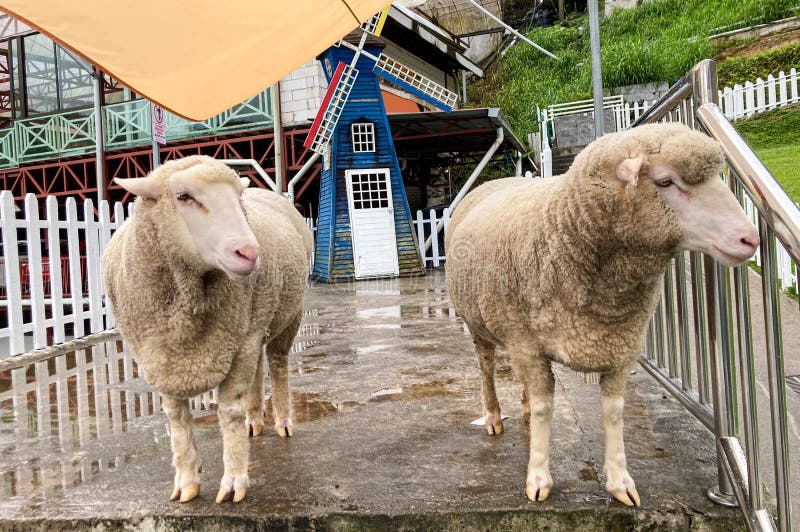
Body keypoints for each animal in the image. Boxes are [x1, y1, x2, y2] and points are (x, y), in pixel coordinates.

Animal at [103, 155, 312, 504]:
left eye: (238, 199)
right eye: (184, 197)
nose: (249, 253)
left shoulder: (239, 340)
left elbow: (229, 411)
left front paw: (234, 481)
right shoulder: (160, 356)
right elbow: (176, 417)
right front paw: (187, 480)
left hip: (284, 316)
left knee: (278, 364)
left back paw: (282, 420)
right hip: (254, 322)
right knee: (258, 370)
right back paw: (255, 419)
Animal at [445, 123, 759, 506]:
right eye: (665, 181)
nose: (750, 239)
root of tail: (493, 182)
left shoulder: (621, 345)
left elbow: (613, 413)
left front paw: (620, 481)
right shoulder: (527, 345)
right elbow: (544, 409)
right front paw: (539, 478)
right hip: (480, 324)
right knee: (487, 368)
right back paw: (492, 415)